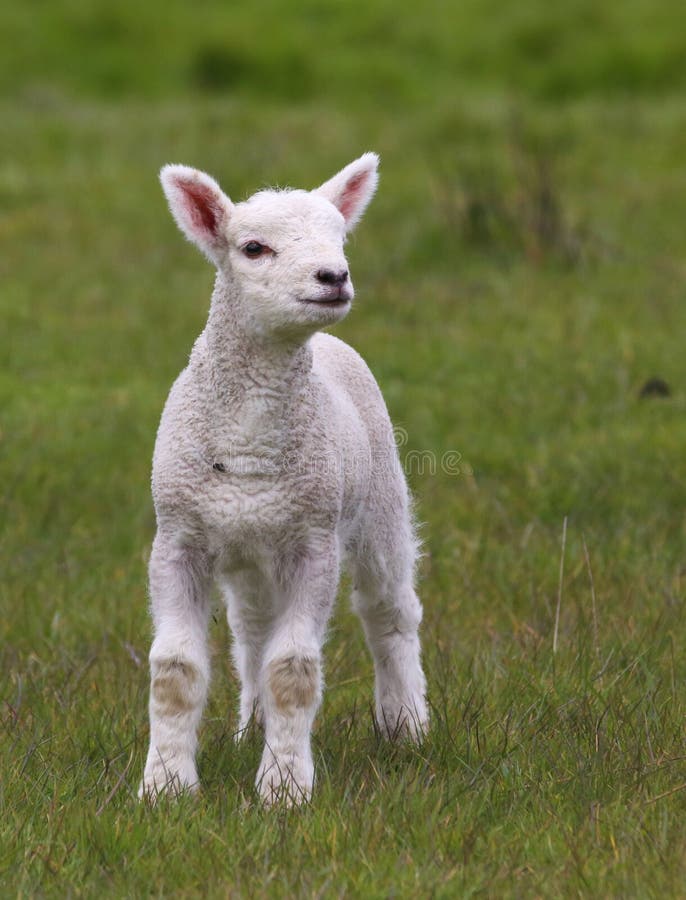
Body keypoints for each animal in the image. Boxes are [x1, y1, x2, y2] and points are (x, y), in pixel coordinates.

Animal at [140, 153, 428, 805]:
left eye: (340, 238)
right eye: (253, 248)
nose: (333, 276)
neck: (249, 441)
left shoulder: (312, 544)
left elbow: (292, 670)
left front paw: (284, 788)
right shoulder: (179, 538)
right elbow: (176, 670)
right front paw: (165, 786)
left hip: (380, 503)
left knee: (390, 613)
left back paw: (407, 726)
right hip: (251, 551)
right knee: (251, 632)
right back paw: (251, 728)